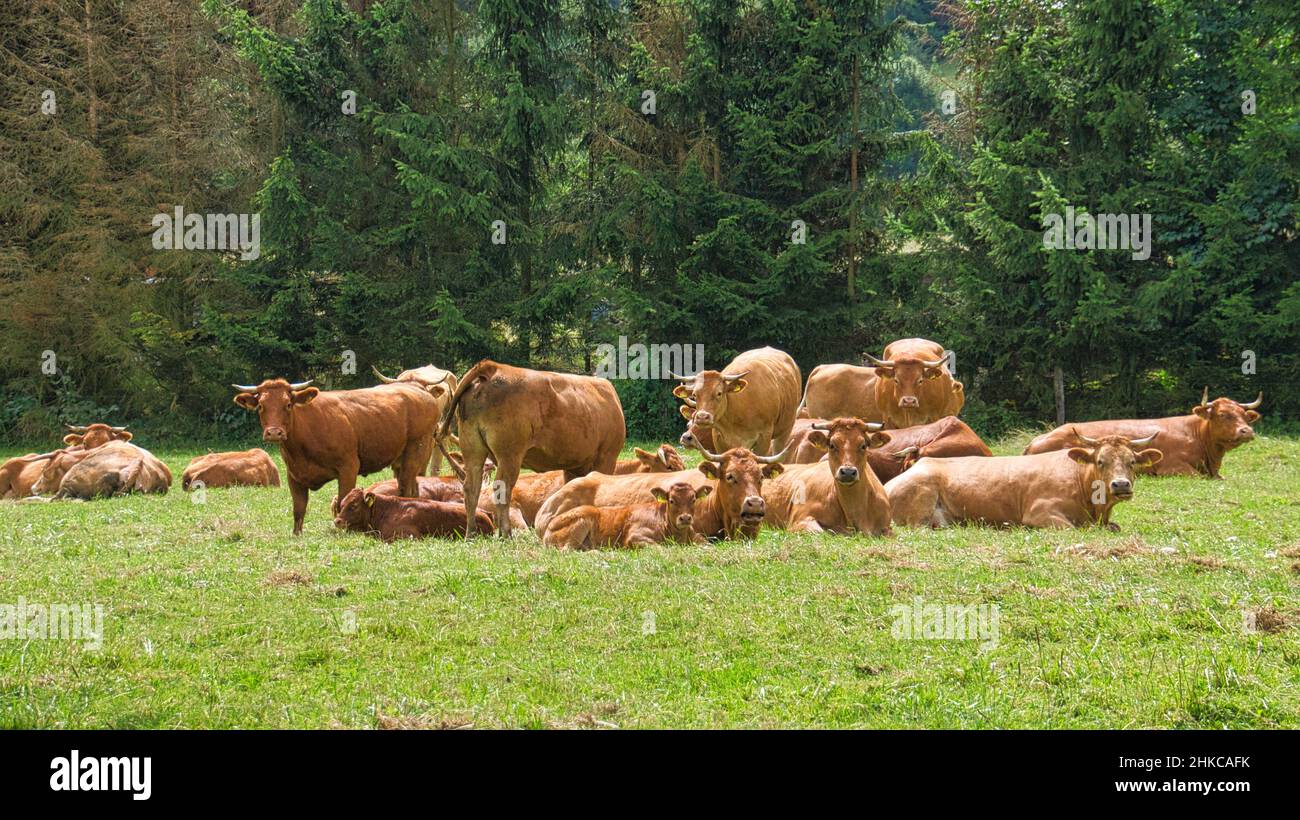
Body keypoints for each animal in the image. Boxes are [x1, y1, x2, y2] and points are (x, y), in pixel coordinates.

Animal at [232, 378, 442, 534]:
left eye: (288, 404)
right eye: (261, 406)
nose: (274, 433)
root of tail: (419, 390)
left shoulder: (348, 467)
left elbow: (343, 499)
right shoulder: (294, 475)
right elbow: (298, 509)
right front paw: (297, 534)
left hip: (416, 453)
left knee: (407, 489)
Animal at [438, 360, 626, 537]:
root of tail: (493, 368)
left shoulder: (573, 466)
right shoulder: (606, 457)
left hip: (472, 449)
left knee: (471, 488)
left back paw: (471, 532)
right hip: (510, 454)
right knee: (502, 488)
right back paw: (505, 533)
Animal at [541, 481, 712, 550]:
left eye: (694, 499)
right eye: (671, 500)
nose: (685, 518)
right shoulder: (634, 537)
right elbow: (660, 548)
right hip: (581, 521)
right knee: (566, 550)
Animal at [671, 346, 801, 456]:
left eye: (719, 393)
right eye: (694, 394)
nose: (702, 417)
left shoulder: (764, 437)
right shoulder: (719, 440)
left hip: (785, 431)